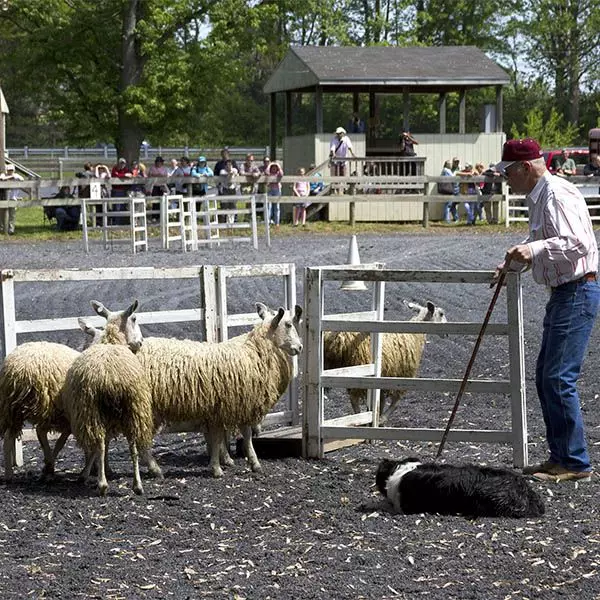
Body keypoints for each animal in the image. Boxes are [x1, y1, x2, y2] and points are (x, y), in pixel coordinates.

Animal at [0, 298, 142, 478]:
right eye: (134, 318)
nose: (140, 342)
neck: (108, 344)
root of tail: (21, 368)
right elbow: (100, 439)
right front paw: (100, 468)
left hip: (12, 405)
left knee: (9, 437)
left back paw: (11, 474)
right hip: (46, 406)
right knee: (39, 432)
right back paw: (47, 466)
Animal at [60, 342, 155, 496]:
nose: (139, 343)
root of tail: (111, 378)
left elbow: (96, 447)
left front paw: (84, 474)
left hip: (91, 411)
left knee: (100, 445)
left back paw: (102, 485)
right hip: (133, 411)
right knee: (132, 447)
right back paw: (137, 486)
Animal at [138, 304, 302, 478]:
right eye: (288, 324)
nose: (300, 347)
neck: (253, 353)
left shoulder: (240, 404)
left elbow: (246, 435)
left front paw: (253, 462)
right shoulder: (221, 407)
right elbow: (217, 439)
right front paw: (216, 467)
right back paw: (155, 468)